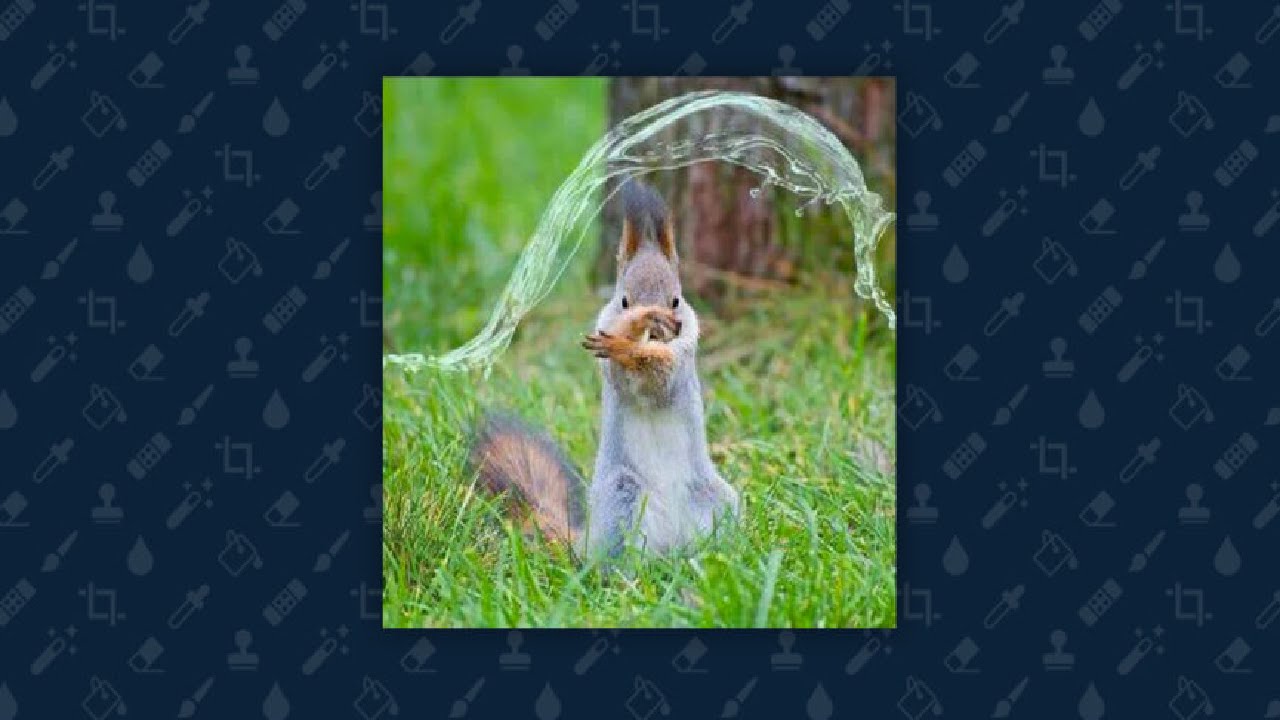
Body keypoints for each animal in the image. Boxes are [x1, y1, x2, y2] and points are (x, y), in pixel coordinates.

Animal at [471, 180, 739, 558]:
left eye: (675, 301)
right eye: (623, 300)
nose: (658, 329)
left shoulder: (683, 361)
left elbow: (661, 380)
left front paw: (632, 347)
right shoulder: (611, 366)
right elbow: (624, 376)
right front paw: (629, 335)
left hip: (714, 500)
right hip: (623, 495)